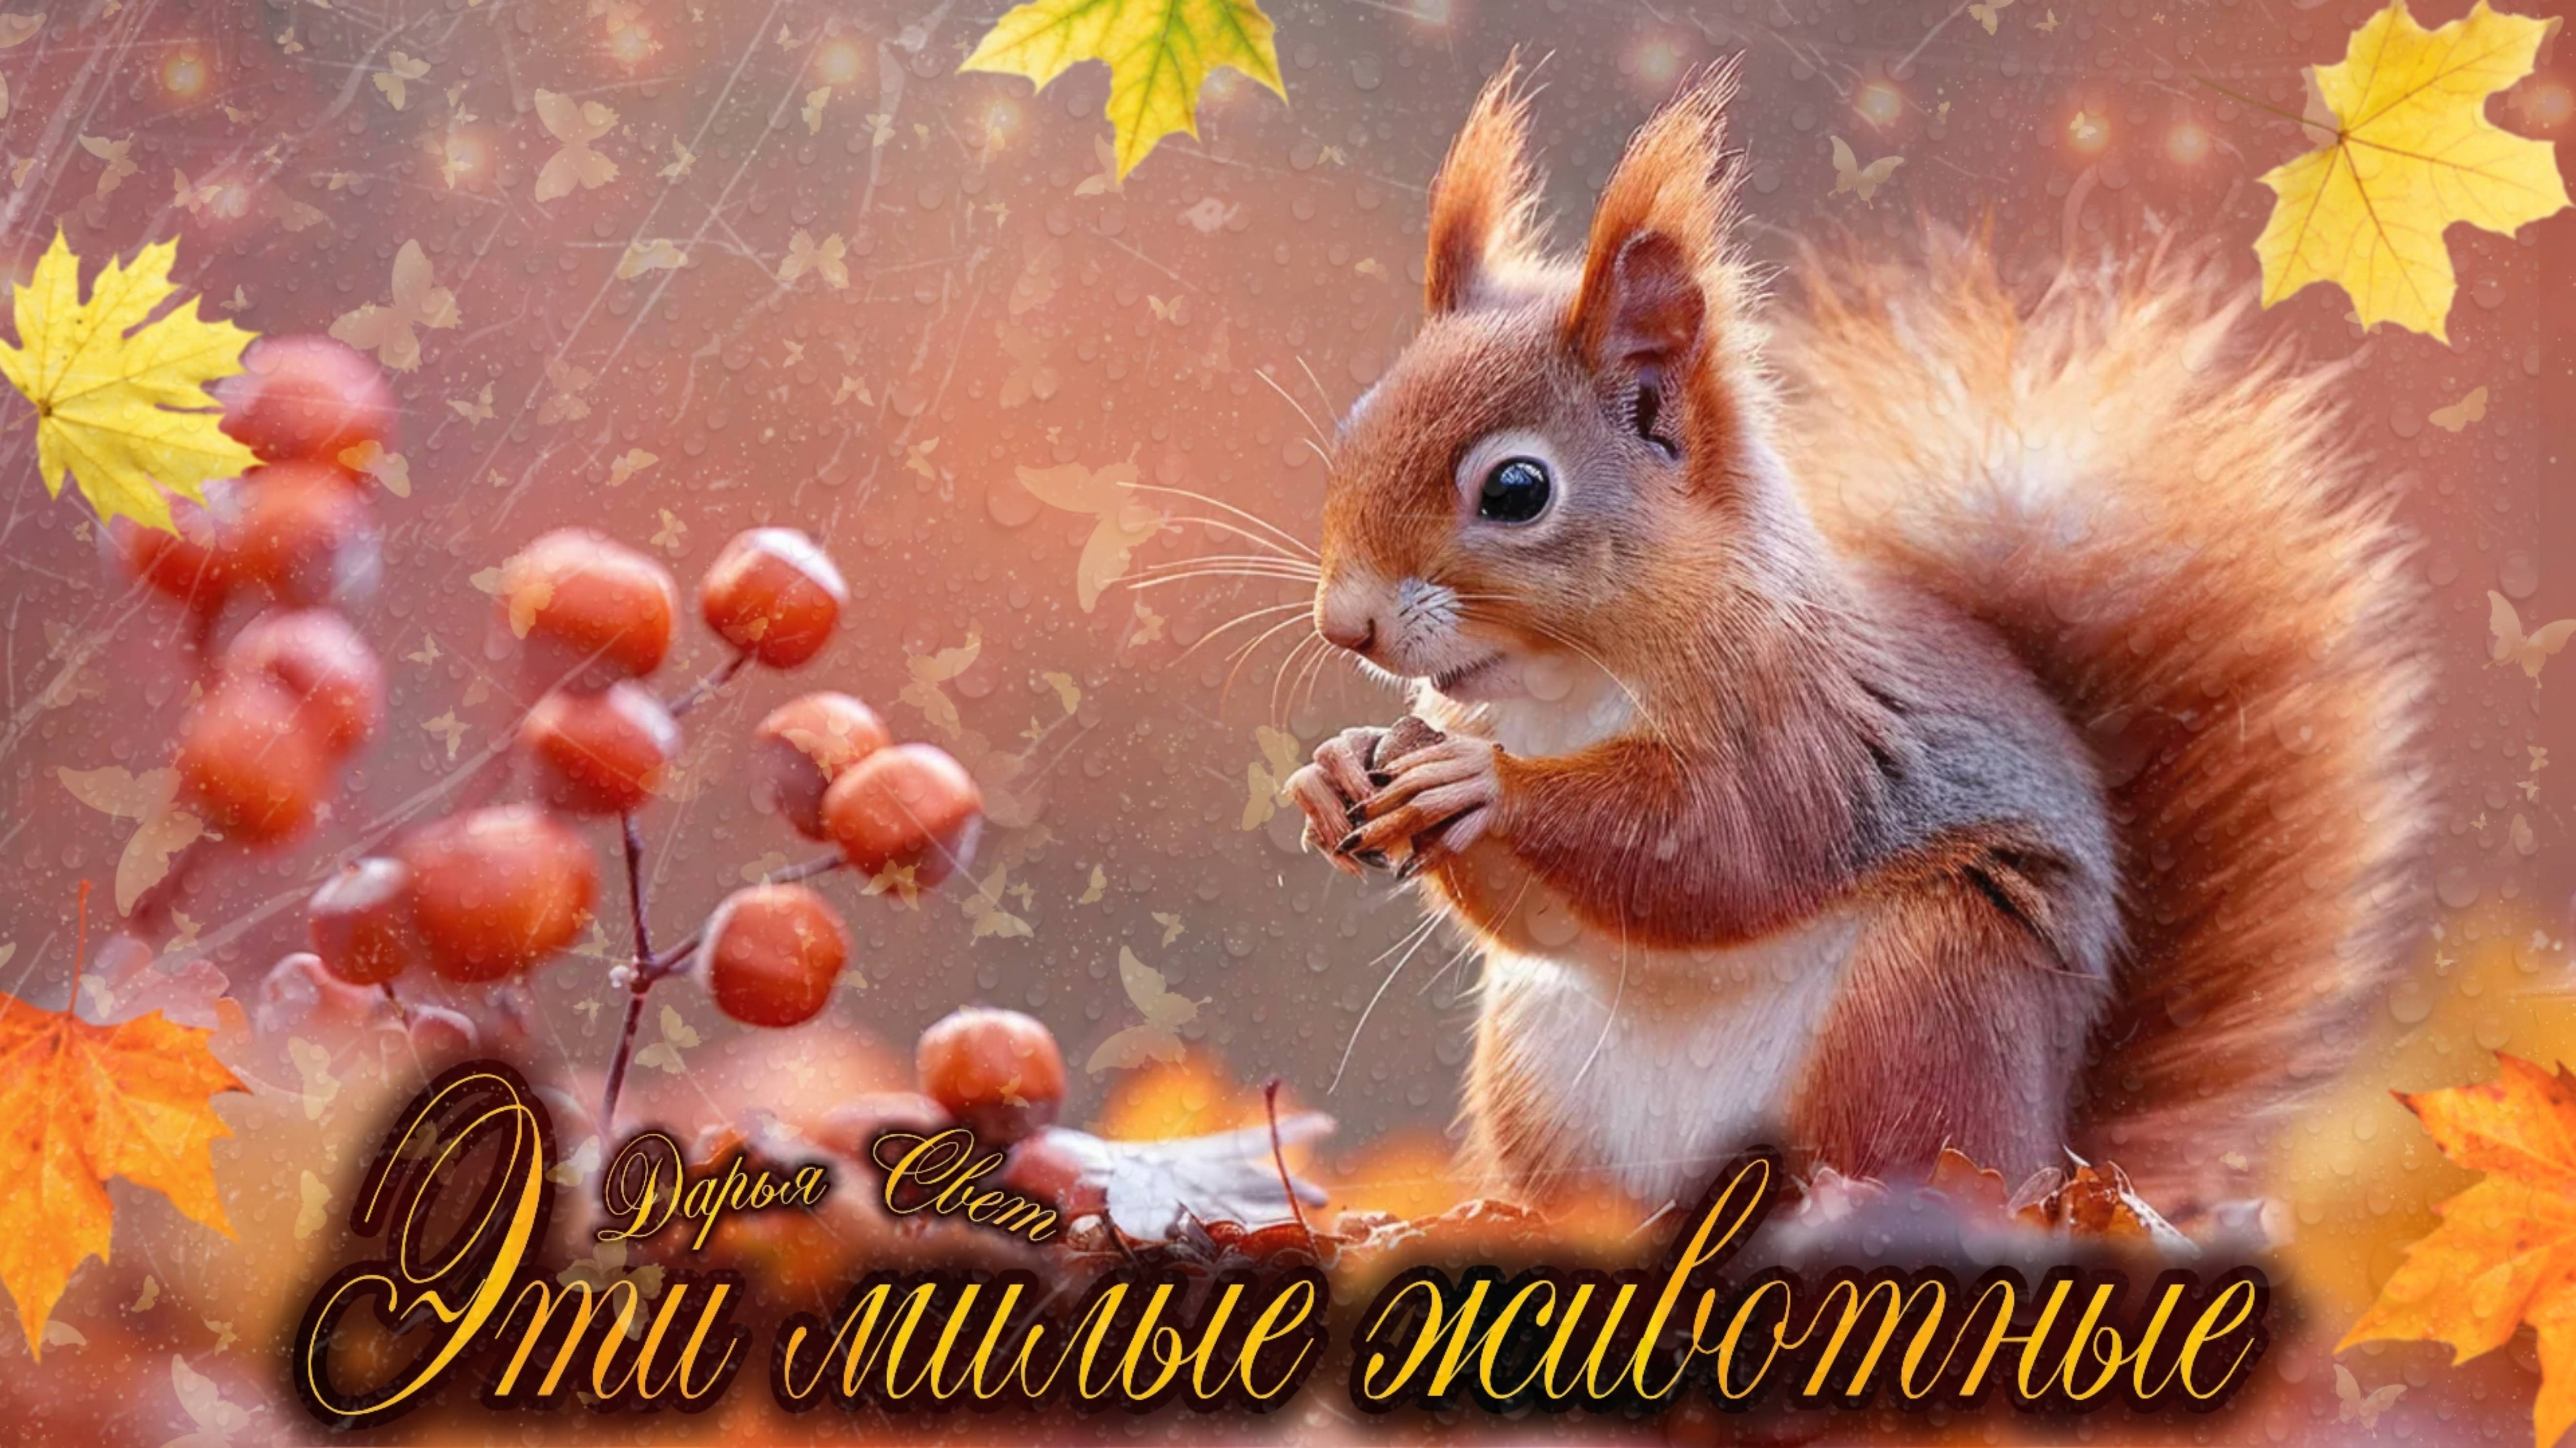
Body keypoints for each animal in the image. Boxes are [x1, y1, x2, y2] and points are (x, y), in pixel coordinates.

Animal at [1284, 65, 2428, 1221]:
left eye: (1517, 490)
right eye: (1356, 423)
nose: (1346, 622)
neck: (1564, 690)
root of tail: (2055, 1152)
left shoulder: (1805, 729)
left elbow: (1711, 844)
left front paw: (1483, 783)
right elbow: (1541, 919)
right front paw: (1336, 770)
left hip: (1927, 1001)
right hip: (1541, 1071)